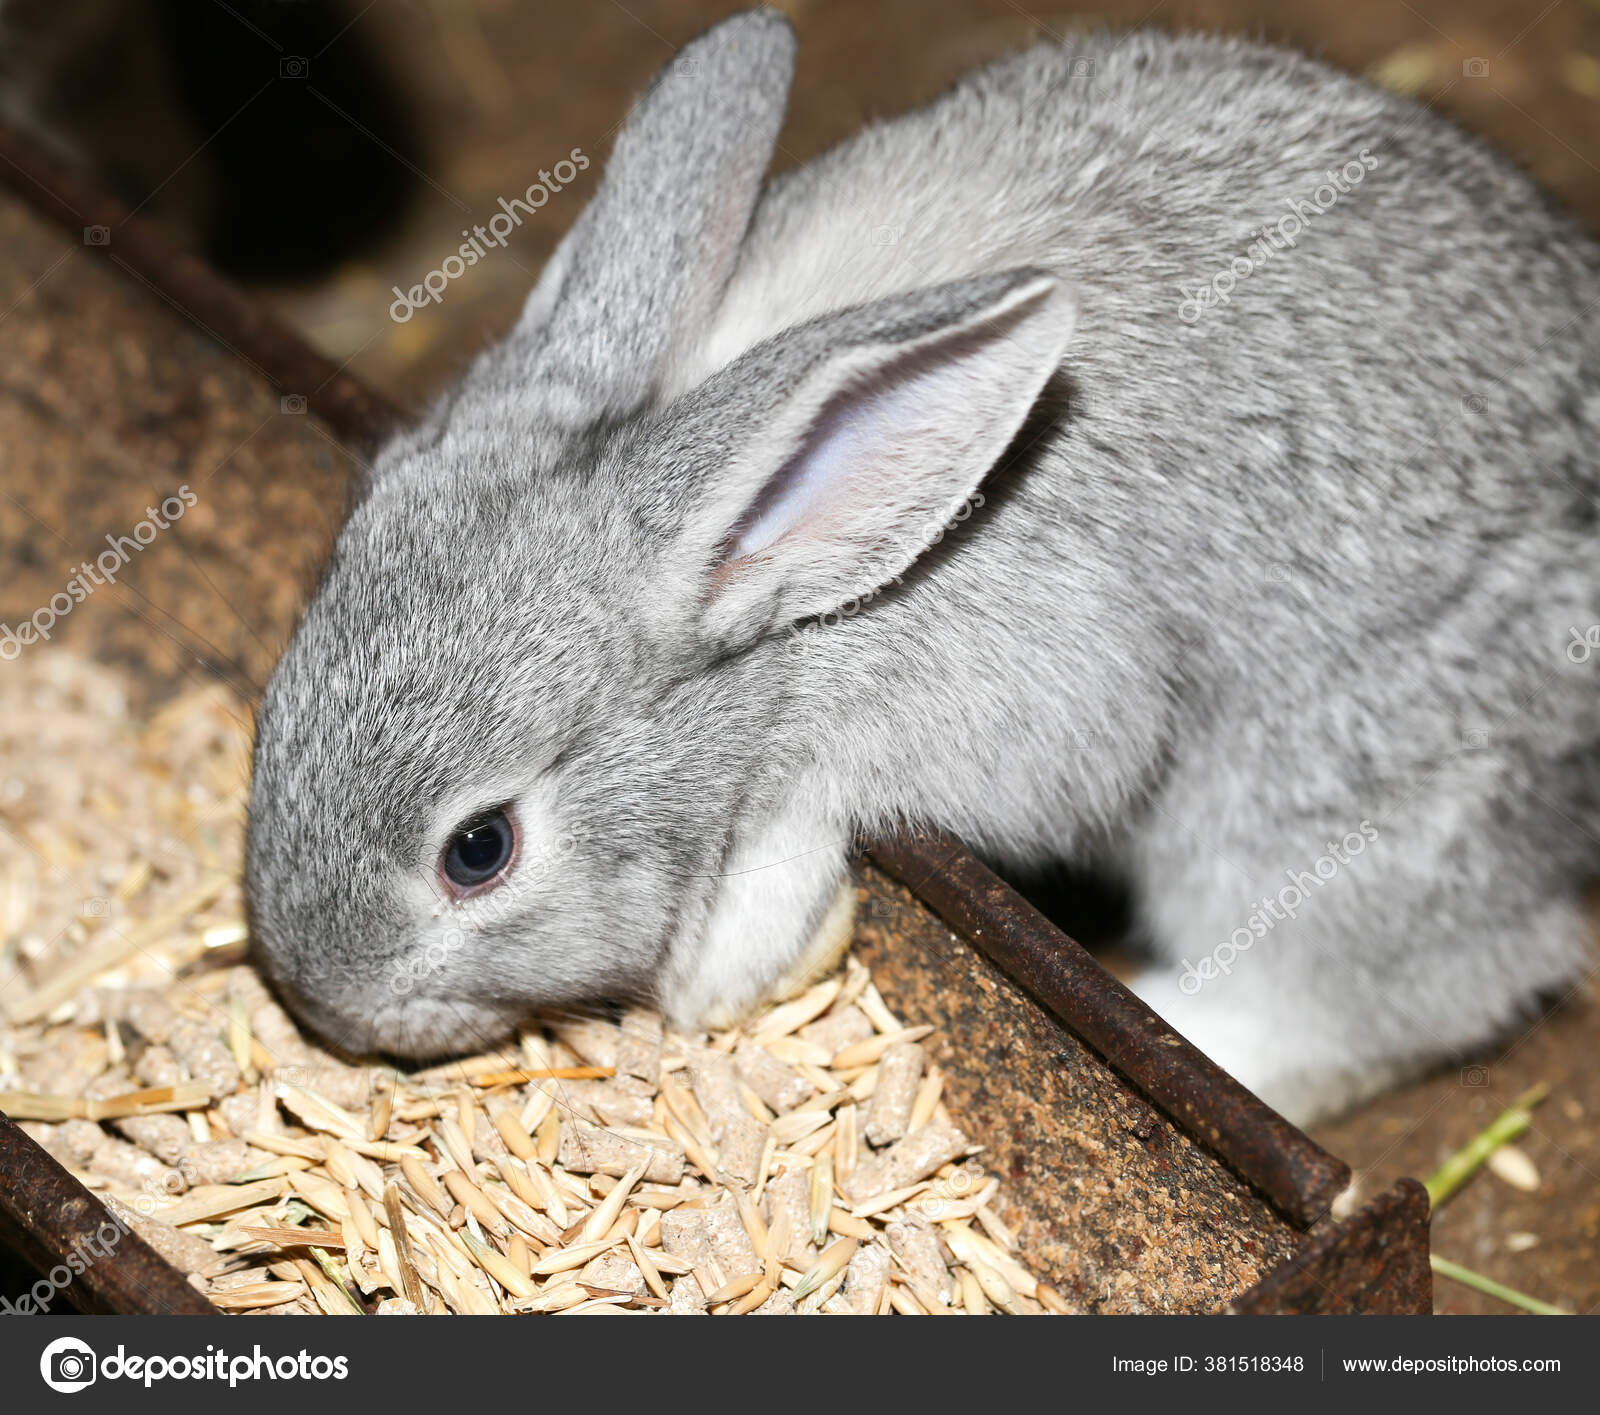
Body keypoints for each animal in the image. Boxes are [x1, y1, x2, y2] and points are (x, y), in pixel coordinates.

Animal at [246, 10, 1600, 1126]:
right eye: (278, 701)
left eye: (480, 849)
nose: (330, 1005)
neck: (784, 586)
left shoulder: (1040, 691)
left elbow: (829, 794)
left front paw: (722, 965)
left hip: (1329, 786)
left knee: (1419, 970)